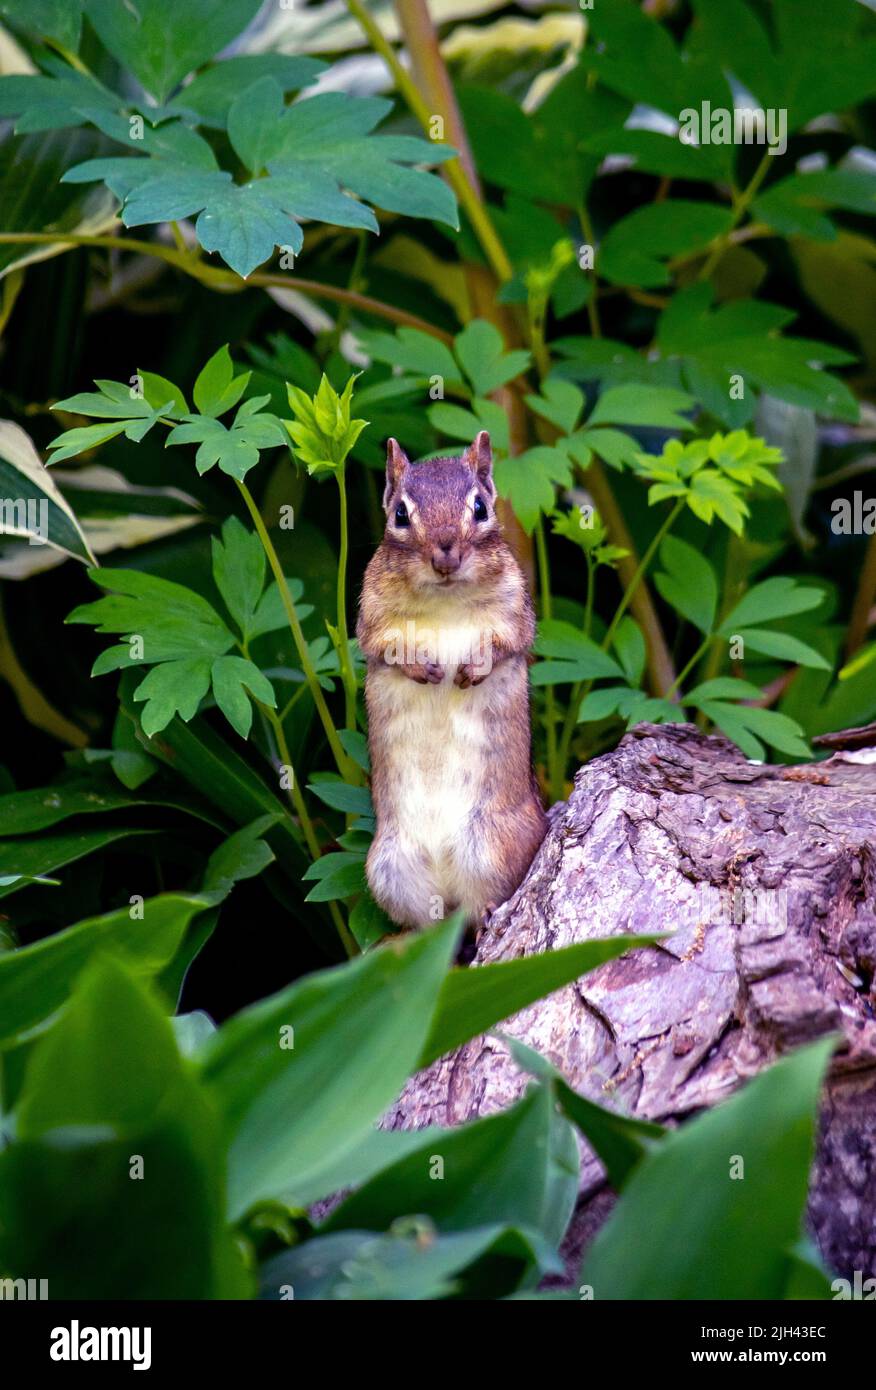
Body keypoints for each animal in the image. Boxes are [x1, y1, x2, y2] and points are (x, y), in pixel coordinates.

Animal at [356, 429, 548, 930]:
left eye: (480, 507)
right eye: (400, 514)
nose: (446, 552)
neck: (444, 600)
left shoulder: (515, 613)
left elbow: (506, 643)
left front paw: (472, 669)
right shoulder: (372, 619)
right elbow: (383, 647)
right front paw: (422, 667)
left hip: (491, 846)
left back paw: (483, 914)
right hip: (389, 866)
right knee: (429, 928)